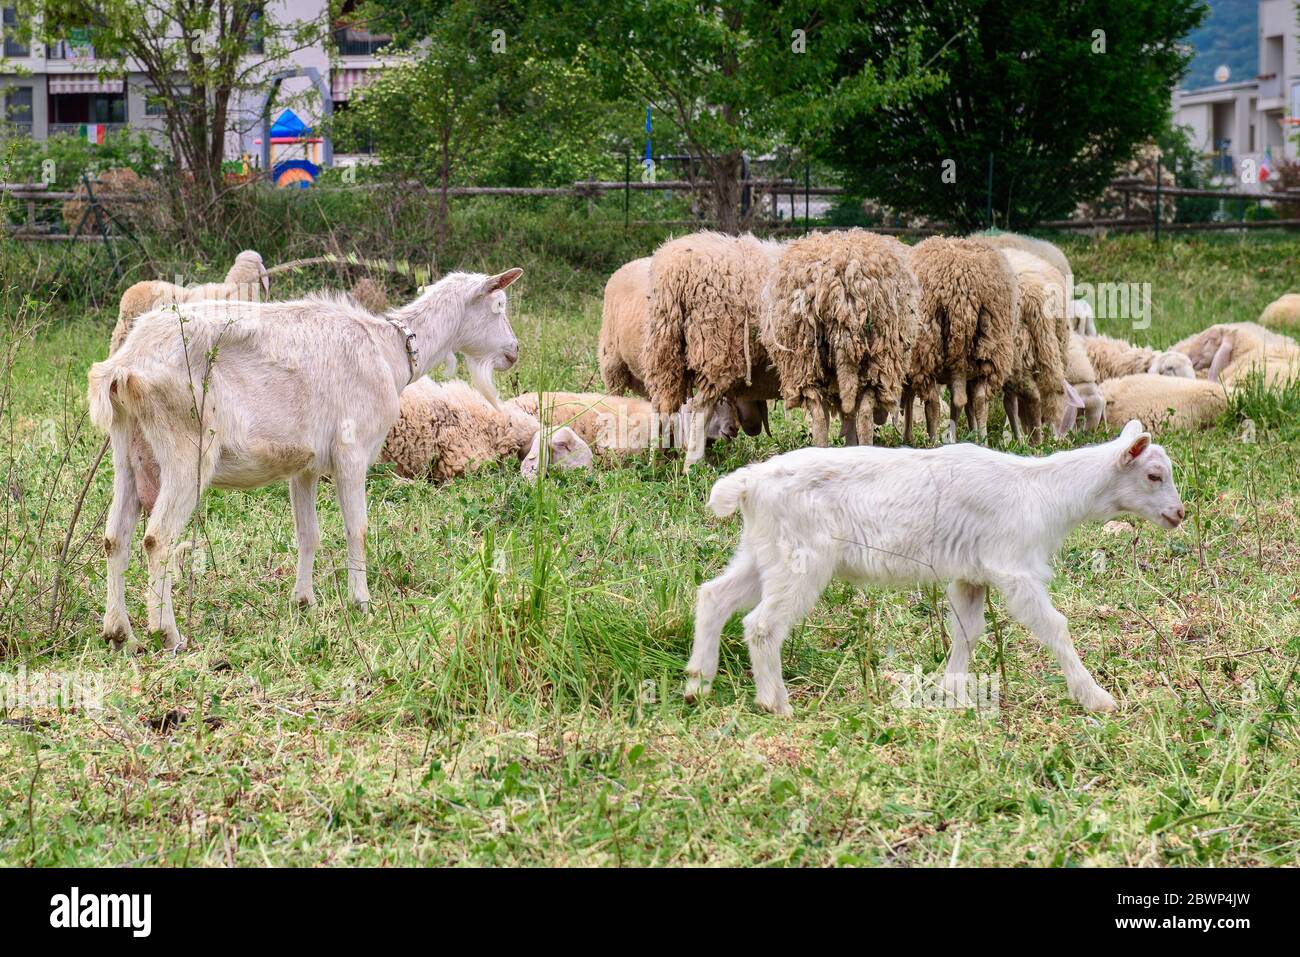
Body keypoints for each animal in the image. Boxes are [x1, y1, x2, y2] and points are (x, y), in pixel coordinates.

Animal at [87, 268, 524, 652]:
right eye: (499, 305)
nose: (513, 352)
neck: (389, 351)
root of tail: (123, 367)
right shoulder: (352, 450)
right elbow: (357, 529)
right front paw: (362, 604)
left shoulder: (305, 466)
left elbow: (307, 533)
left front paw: (303, 602)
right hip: (186, 447)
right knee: (157, 538)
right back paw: (169, 635)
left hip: (127, 450)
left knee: (115, 538)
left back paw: (119, 634)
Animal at [643, 231, 785, 467]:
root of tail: (674, 270)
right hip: (717, 348)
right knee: (700, 408)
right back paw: (693, 465)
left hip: (664, 347)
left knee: (661, 407)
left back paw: (657, 462)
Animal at [685, 420, 1184, 716]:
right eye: (1153, 475)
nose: (1179, 514)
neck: (1042, 491)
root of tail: (748, 482)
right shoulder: (1013, 567)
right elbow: (1054, 627)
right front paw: (1097, 698)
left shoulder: (971, 573)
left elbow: (967, 631)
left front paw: (953, 694)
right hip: (801, 558)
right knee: (762, 624)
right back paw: (775, 703)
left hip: (763, 550)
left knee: (714, 597)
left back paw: (698, 684)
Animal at [900, 236, 1016, 443]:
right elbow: (964, 403)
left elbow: (911, 396)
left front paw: (908, 437)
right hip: (990, 347)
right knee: (978, 399)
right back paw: (981, 440)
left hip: (926, 348)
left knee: (933, 402)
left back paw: (934, 441)